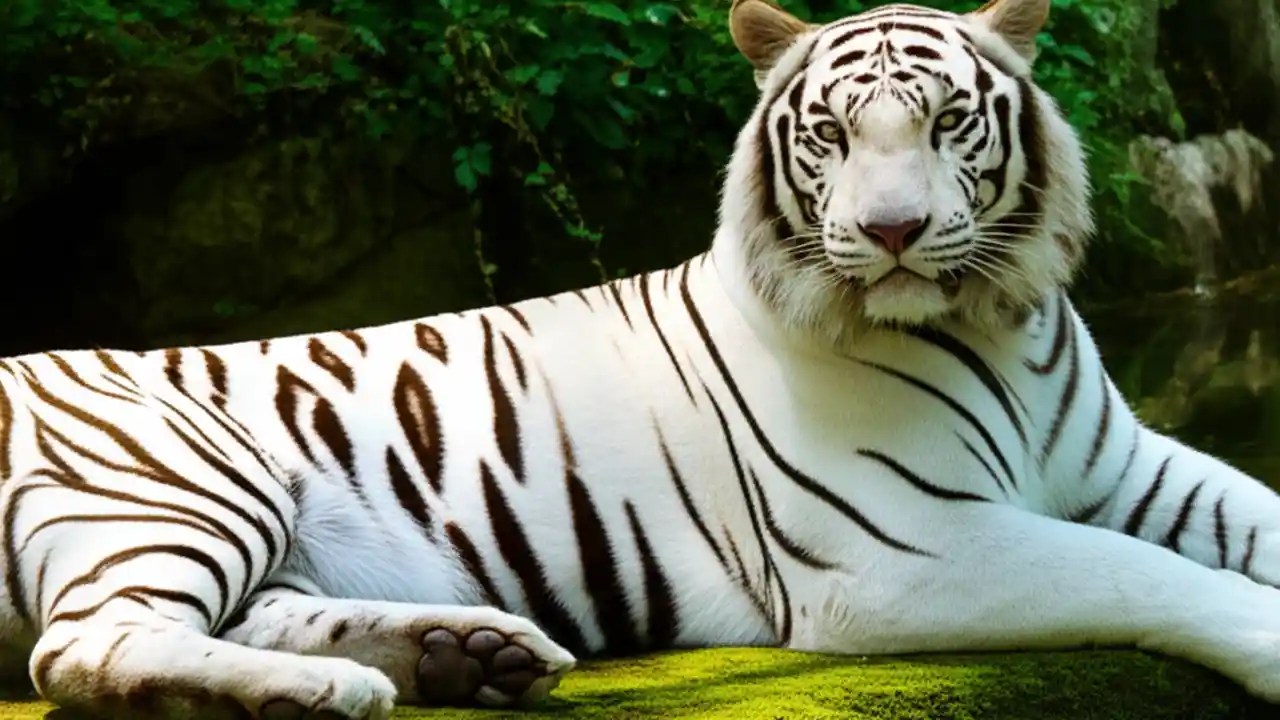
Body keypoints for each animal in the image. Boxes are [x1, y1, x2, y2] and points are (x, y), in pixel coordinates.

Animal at [2, 0, 1280, 717]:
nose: (891, 232)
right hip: (179, 478)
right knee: (87, 645)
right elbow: (1143, 575)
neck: (991, 320)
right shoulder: (903, 548)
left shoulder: (1128, 468)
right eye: (830, 135)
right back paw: (333, 692)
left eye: (945, 122)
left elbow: (1243, 518)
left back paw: (462, 654)